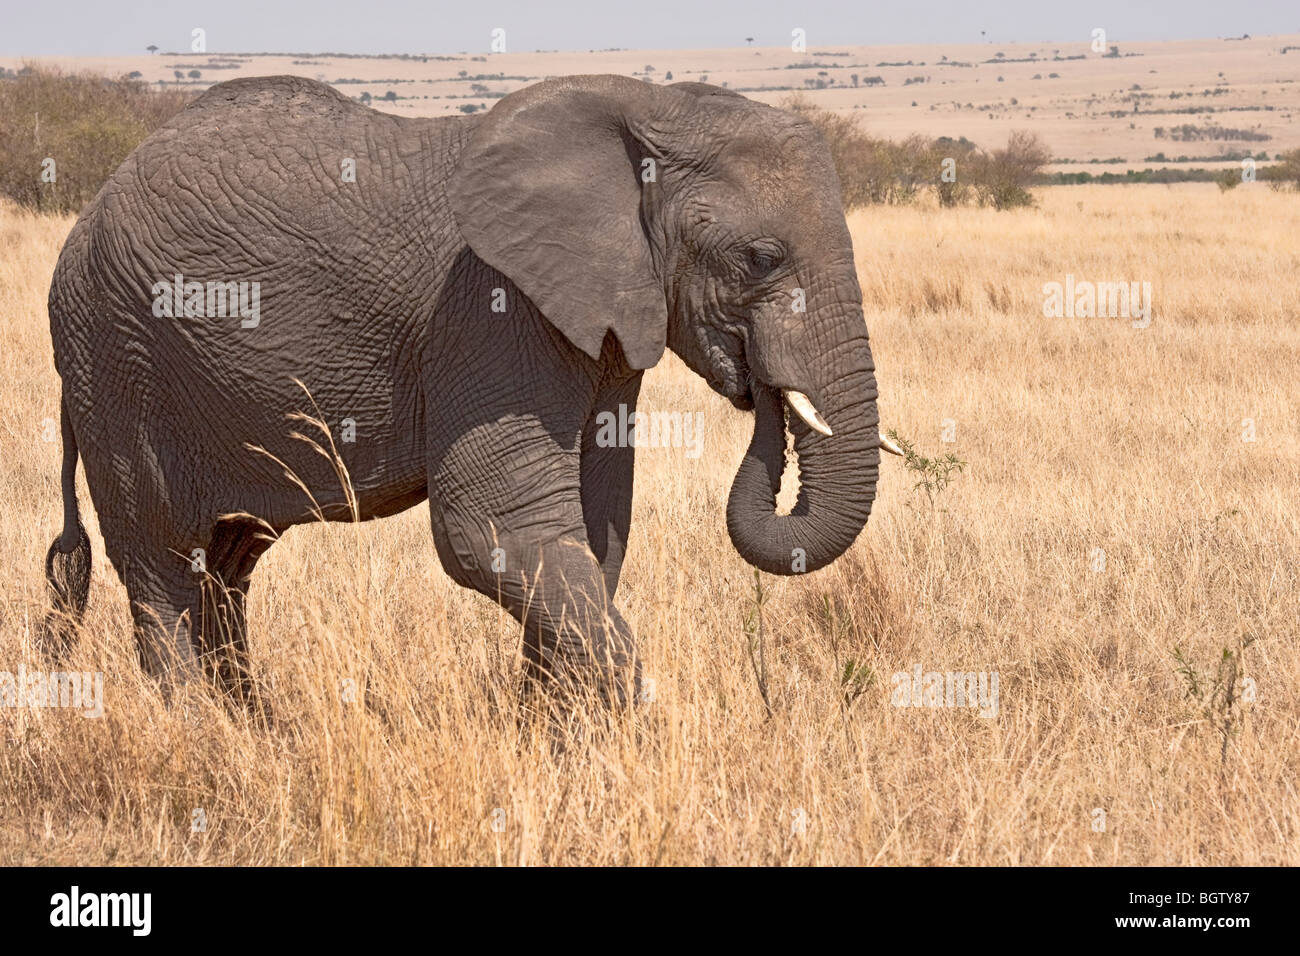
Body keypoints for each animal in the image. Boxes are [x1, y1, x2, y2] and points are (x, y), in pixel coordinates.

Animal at [41, 73, 899, 713]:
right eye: (763, 257)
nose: (763, 391)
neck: (649, 108)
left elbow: (593, 525)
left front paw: (551, 734)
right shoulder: (488, 304)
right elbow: (496, 525)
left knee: (228, 561)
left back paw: (257, 730)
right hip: (115, 361)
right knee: (161, 561)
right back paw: (205, 739)